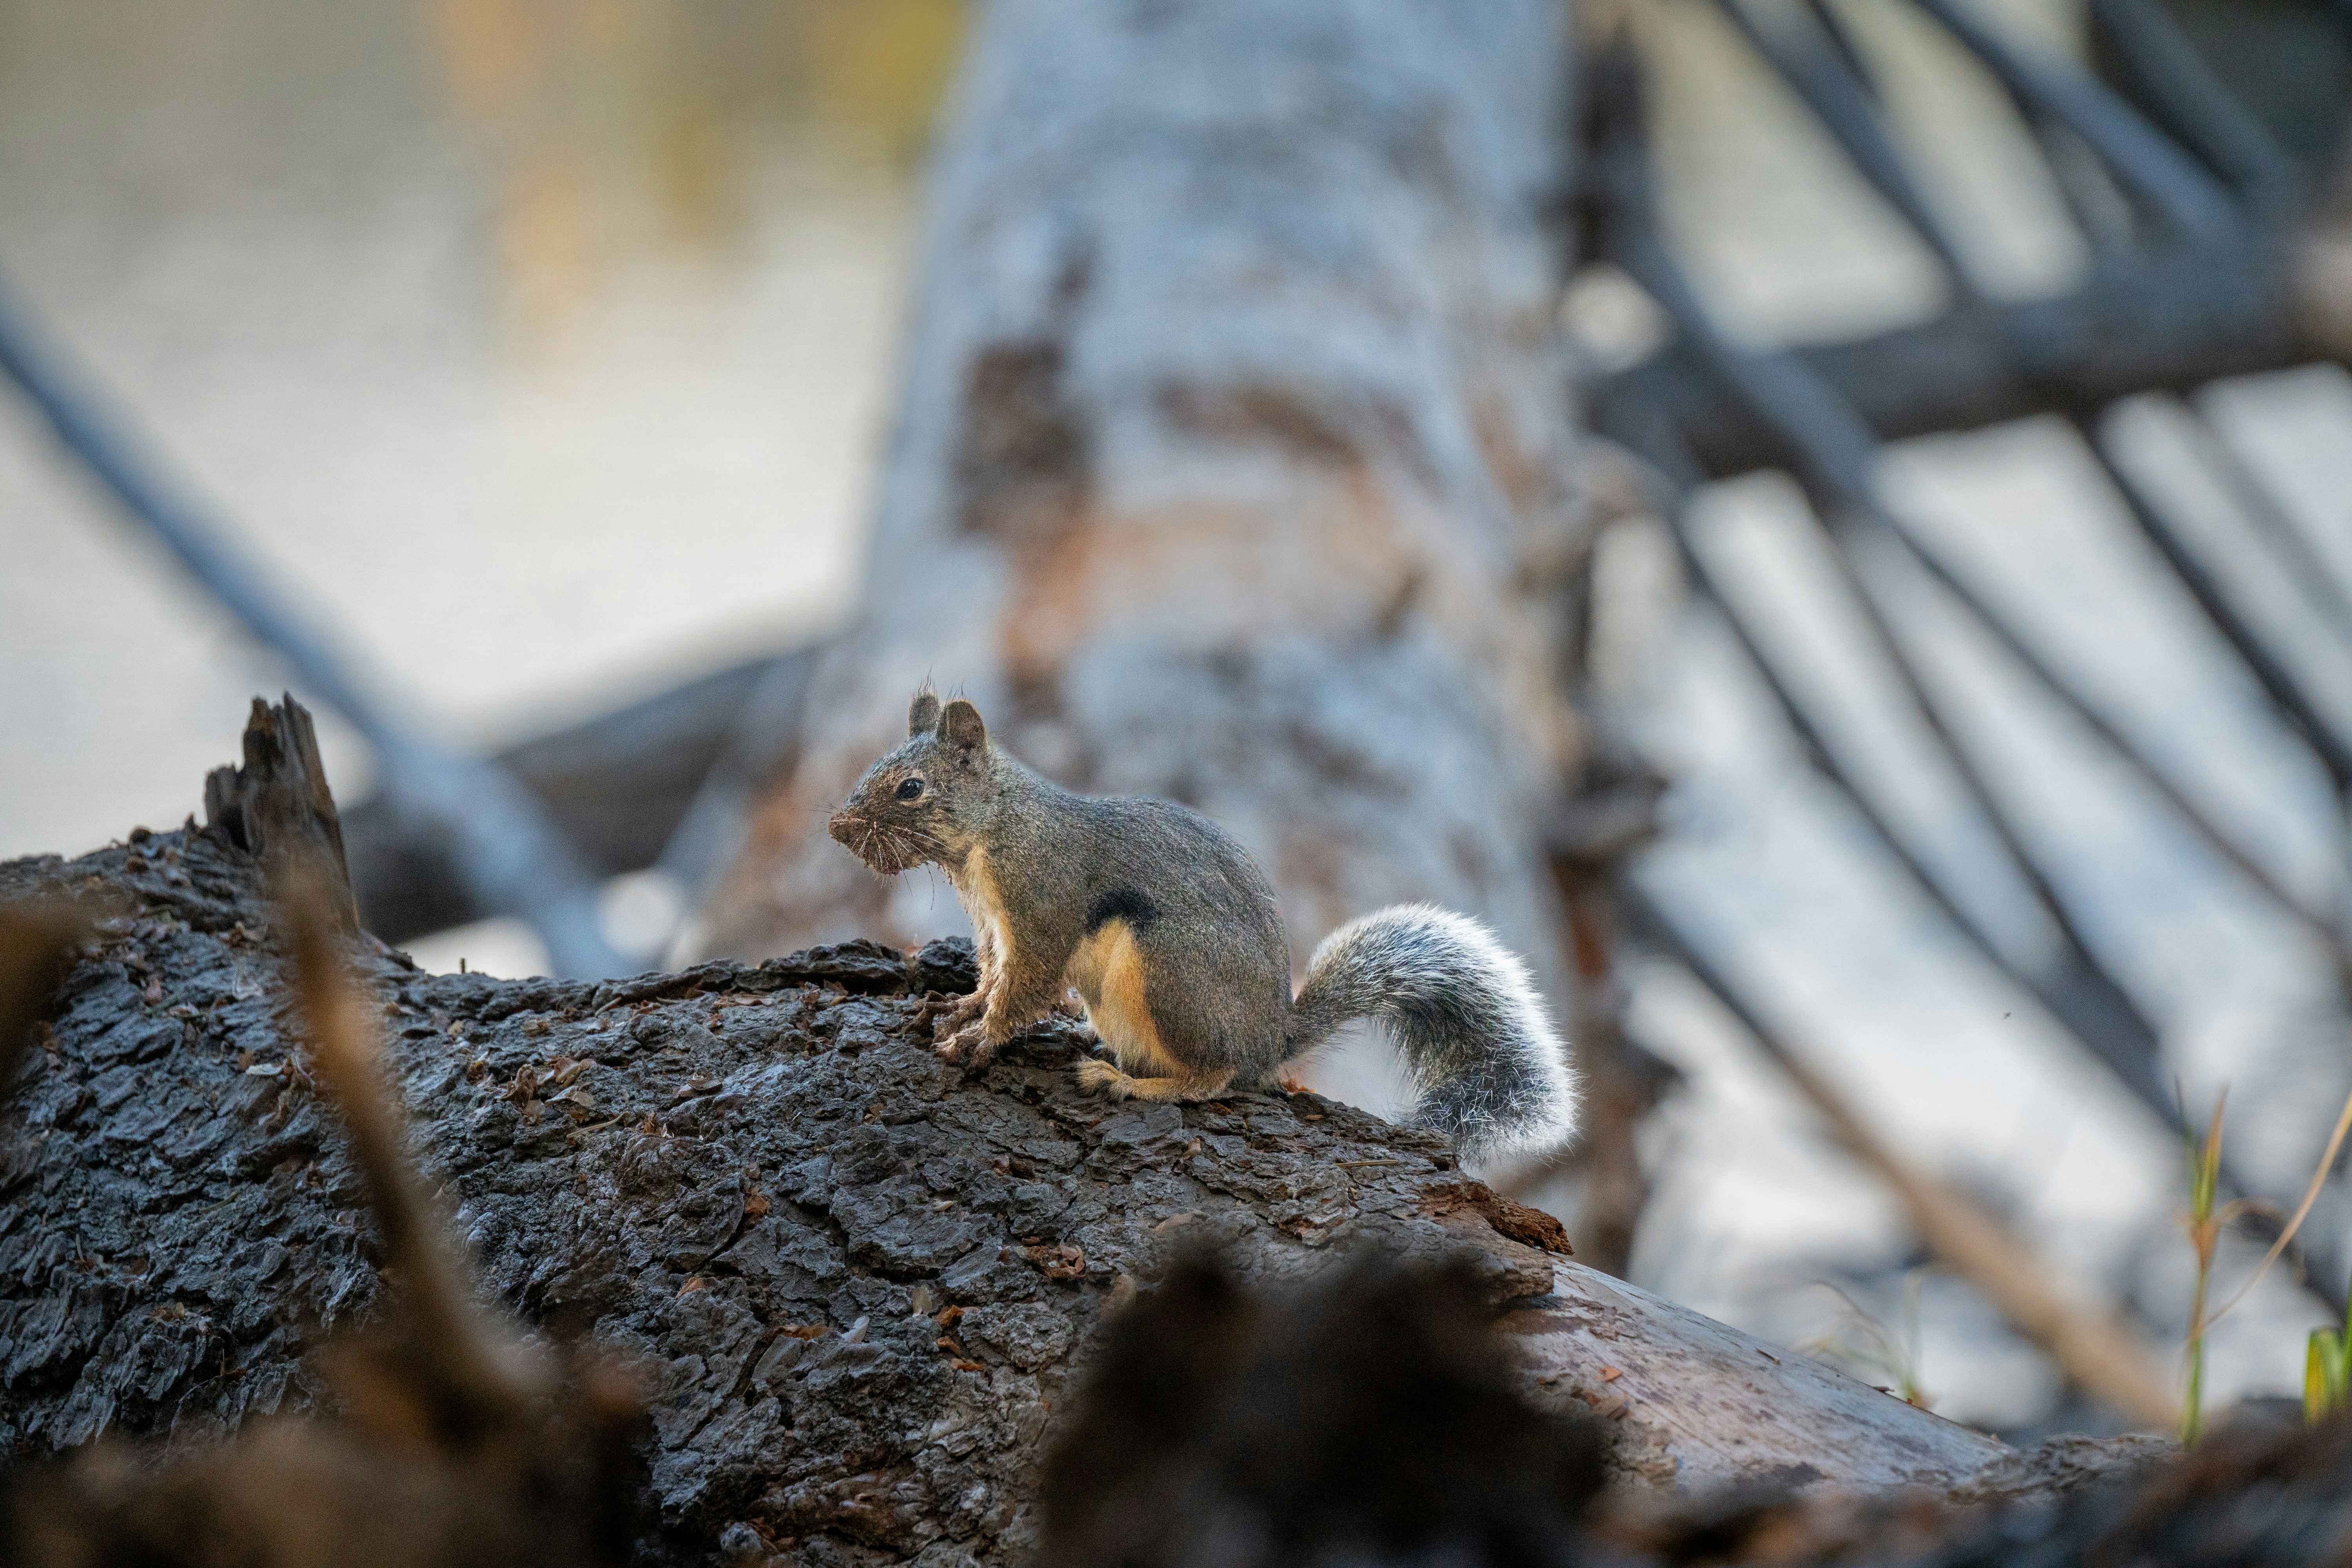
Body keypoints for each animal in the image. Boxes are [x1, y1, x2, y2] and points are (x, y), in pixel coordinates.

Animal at [826, 688, 1578, 1160]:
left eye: (911, 789)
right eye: (875, 766)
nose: (839, 826)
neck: (992, 836)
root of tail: (1270, 1038)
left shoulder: (1043, 907)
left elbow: (1025, 988)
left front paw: (979, 1039)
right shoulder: (991, 926)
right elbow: (991, 977)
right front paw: (958, 1007)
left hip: (1169, 973)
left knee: (1216, 1078)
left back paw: (1130, 1083)